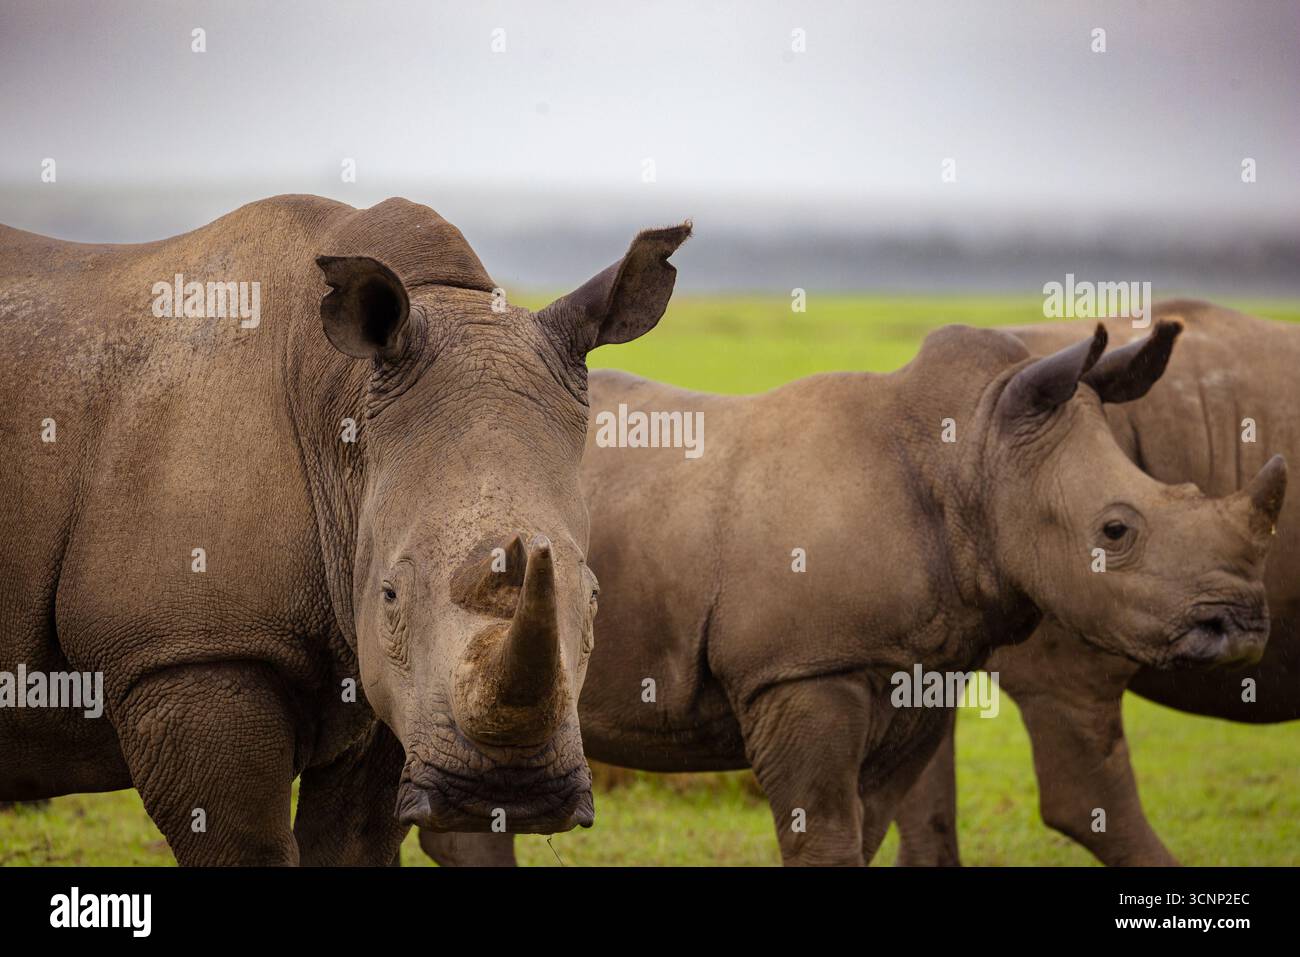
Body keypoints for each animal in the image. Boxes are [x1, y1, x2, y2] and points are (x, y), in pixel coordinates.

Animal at [0, 195, 690, 864]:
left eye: (595, 597)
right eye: (389, 595)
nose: (511, 793)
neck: (340, 410)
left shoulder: (391, 679)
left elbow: (353, 841)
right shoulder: (186, 647)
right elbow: (245, 845)